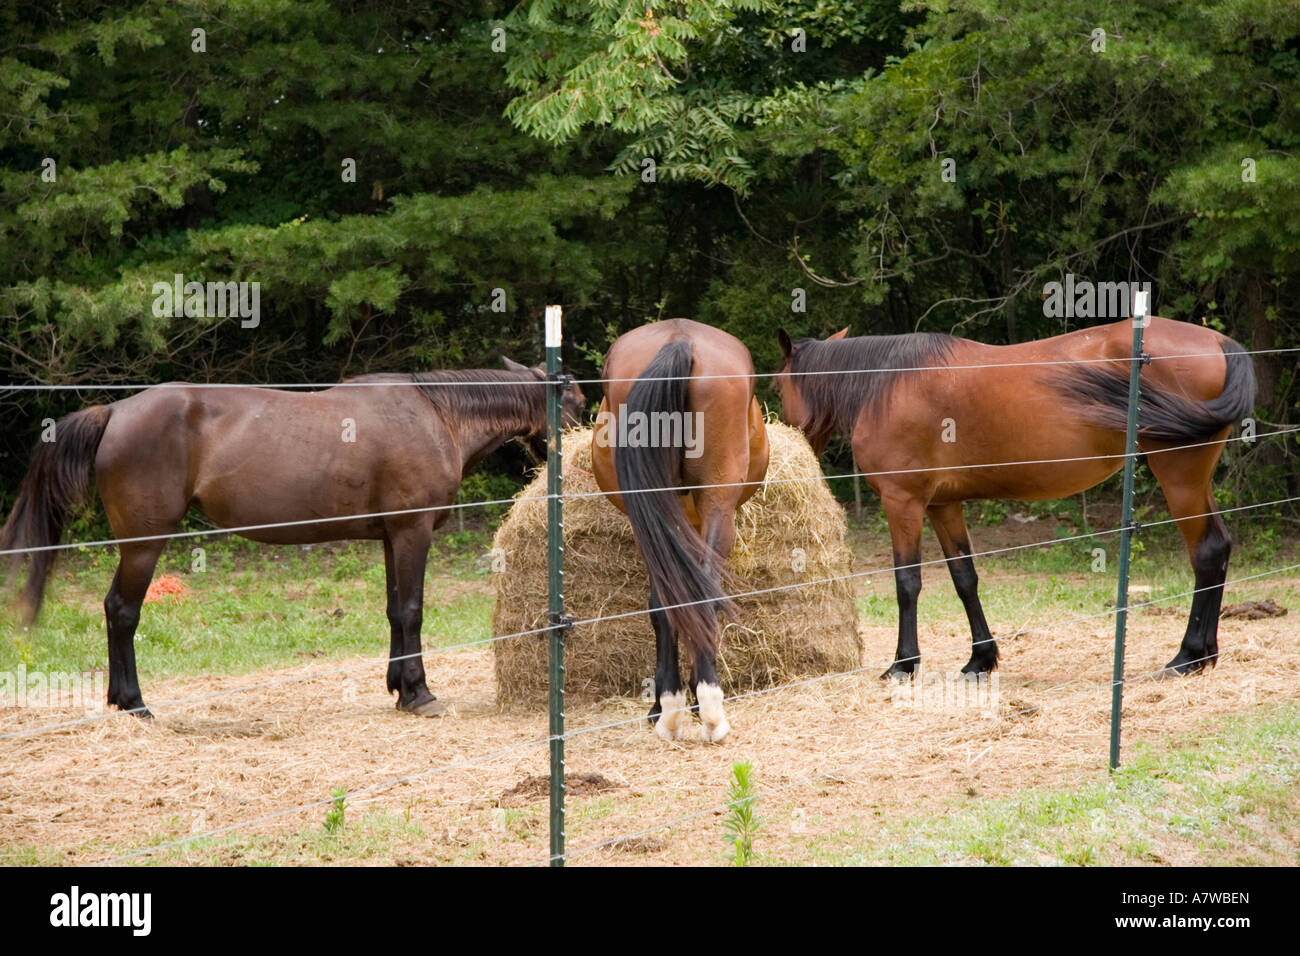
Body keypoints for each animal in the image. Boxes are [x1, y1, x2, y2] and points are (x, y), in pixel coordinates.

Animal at [0, 358, 586, 719]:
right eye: (579, 403)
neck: (434, 413)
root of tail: (115, 412)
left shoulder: (390, 537)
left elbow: (395, 611)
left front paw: (398, 687)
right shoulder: (412, 531)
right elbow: (413, 610)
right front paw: (419, 693)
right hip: (144, 545)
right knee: (121, 612)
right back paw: (134, 703)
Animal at [591, 319, 770, 742]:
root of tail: (680, 339)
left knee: (668, 599)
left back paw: (671, 708)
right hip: (718, 505)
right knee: (702, 591)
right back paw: (709, 709)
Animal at [774, 317, 1256, 680]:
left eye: (778, 387)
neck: (887, 383)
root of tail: (1217, 341)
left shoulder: (903, 502)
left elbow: (907, 583)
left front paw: (903, 664)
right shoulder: (942, 505)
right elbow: (964, 578)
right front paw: (981, 659)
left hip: (1180, 477)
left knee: (1206, 552)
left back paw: (1187, 656)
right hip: (1195, 480)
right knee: (1219, 547)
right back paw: (1204, 653)